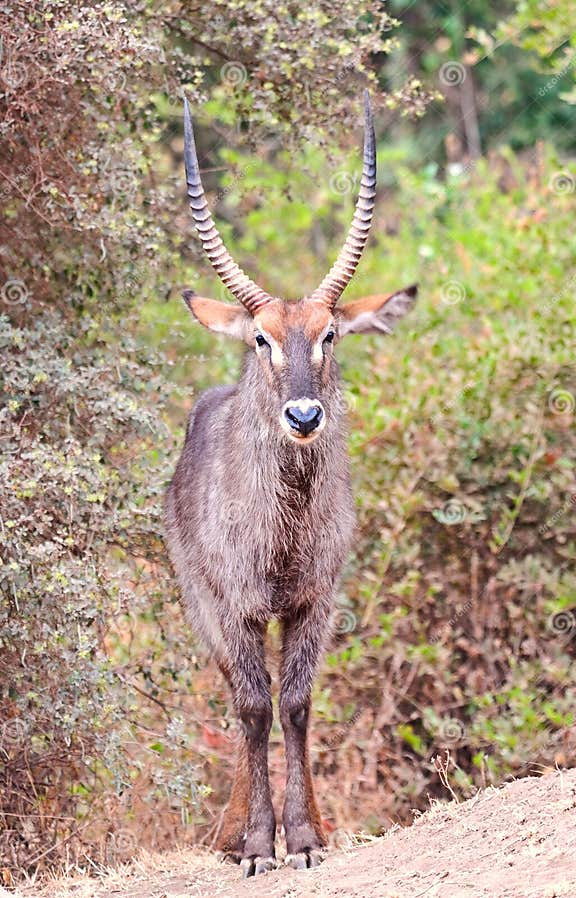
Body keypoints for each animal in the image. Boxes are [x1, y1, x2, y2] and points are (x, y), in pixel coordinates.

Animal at [164, 91, 417, 877]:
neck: (283, 529)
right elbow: (251, 708)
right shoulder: (236, 606)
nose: (304, 416)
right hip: (201, 606)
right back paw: (230, 829)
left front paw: (305, 836)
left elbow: (298, 703)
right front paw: (255, 844)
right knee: (232, 691)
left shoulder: (315, 599)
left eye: (330, 334)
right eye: (261, 338)